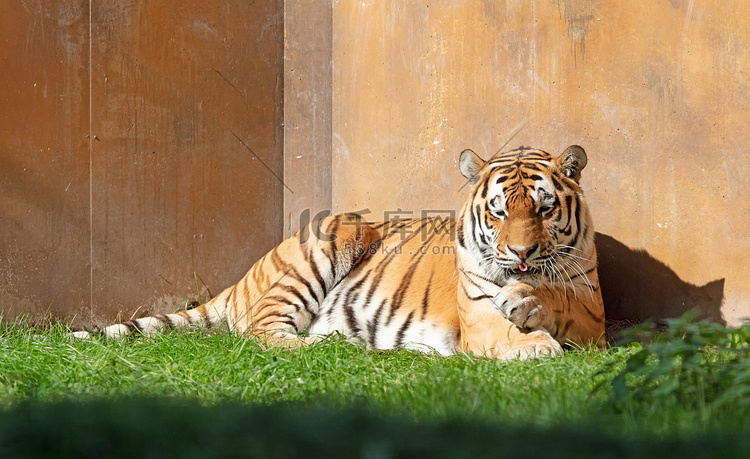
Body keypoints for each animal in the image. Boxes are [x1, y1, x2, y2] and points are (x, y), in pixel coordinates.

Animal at [73, 145, 606, 360]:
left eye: (544, 208)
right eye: (497, 212)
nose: (521, 252)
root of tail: (247, 274)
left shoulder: (593, 311)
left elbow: (562, 303)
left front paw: (530, 303)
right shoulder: (478, 316)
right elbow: (508, 330)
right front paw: (536, 343)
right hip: (338, 231)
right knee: (261, 331)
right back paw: (335, 343)